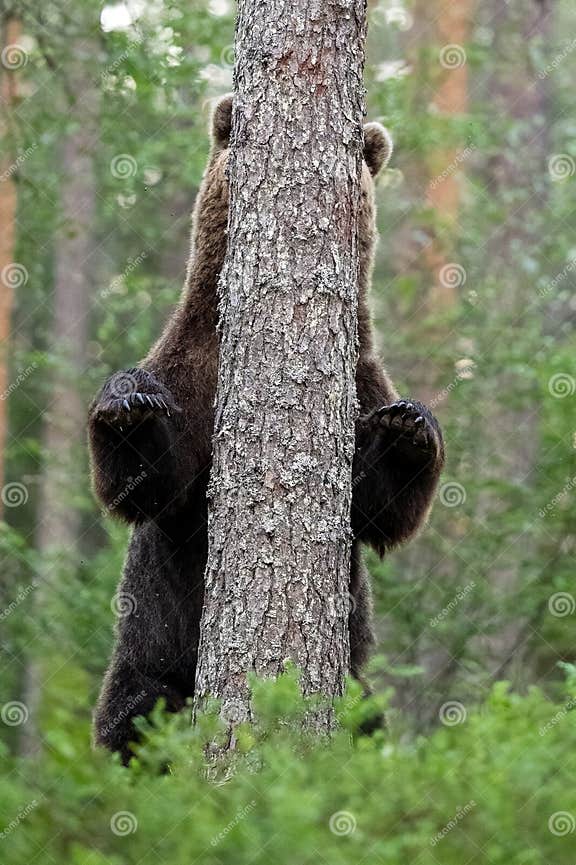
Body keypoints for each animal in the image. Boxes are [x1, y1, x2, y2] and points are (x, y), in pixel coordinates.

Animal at [88, 95, 444, 763]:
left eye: (351, 167)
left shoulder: (357, 376)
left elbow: (381, 506)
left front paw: (410, 425)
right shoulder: (194, 369)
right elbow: (150, 483)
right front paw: (130, 403)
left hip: (353, 683)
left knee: (367, 716)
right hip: (150, 653)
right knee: (139, 709)